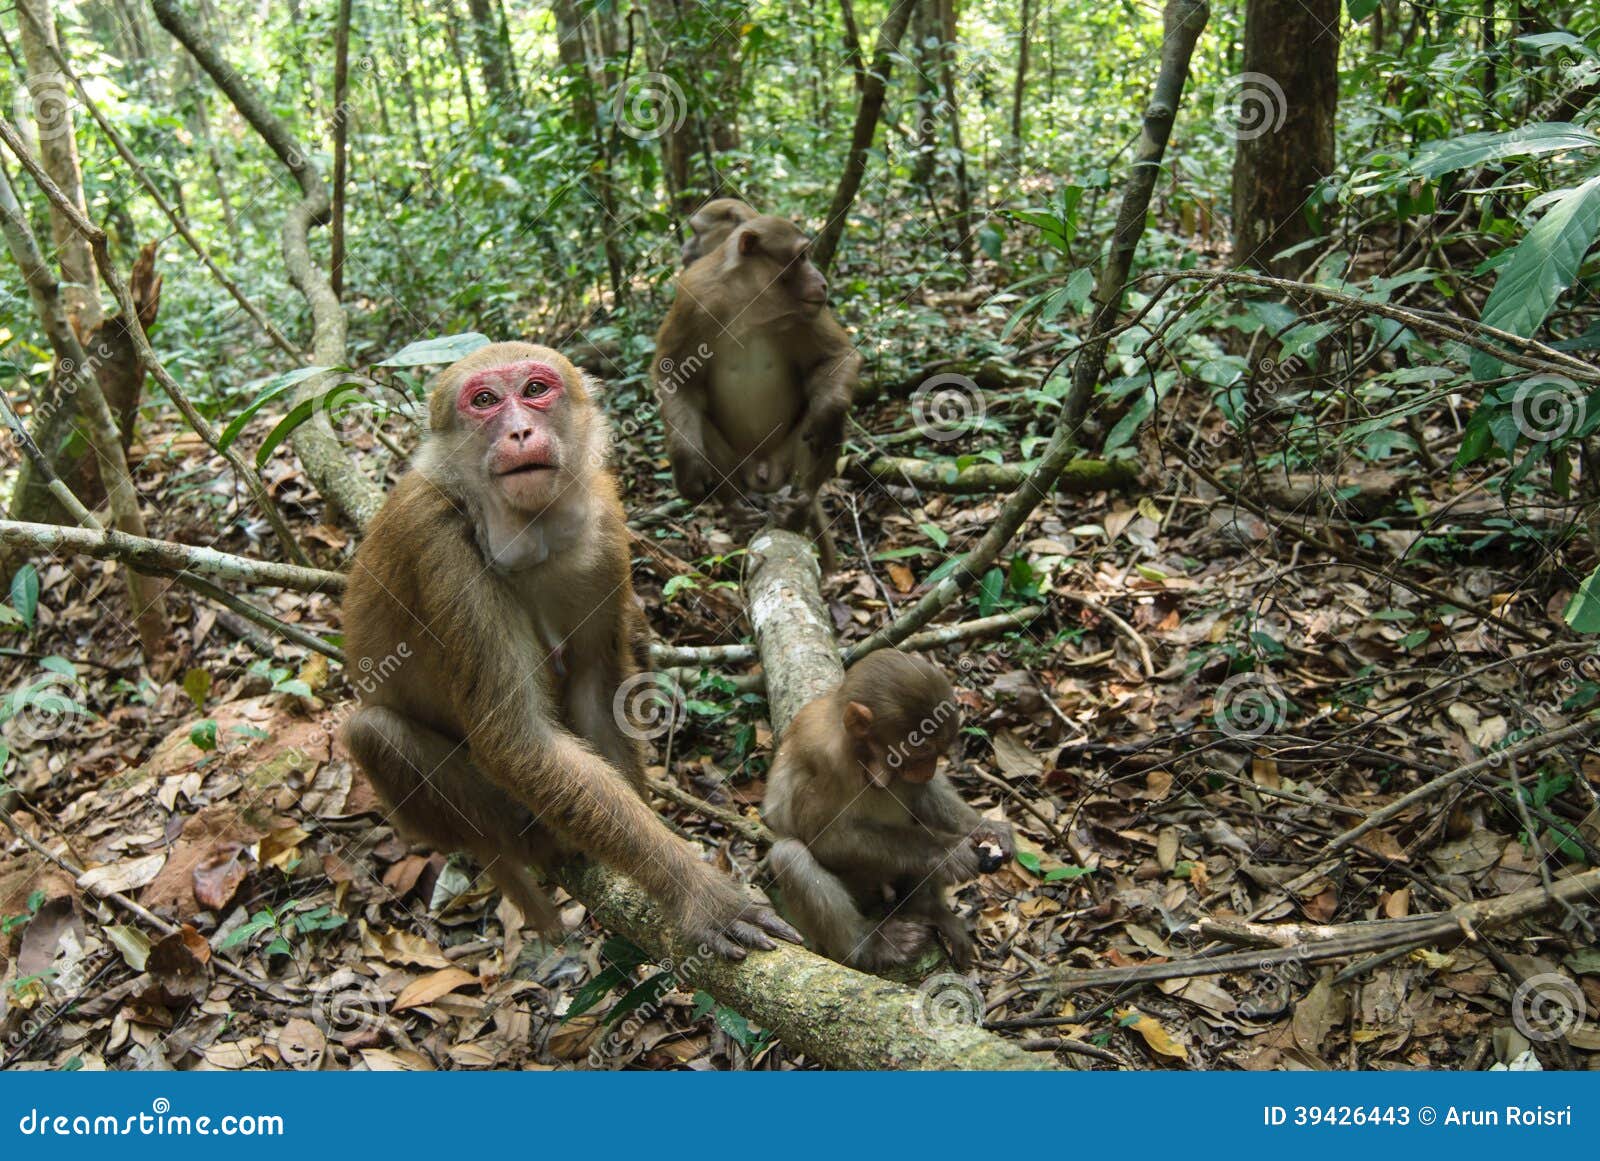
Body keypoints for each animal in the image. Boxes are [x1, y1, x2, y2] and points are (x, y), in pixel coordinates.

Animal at [340, 342, 798, 959]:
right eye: (484, 401)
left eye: (535, 390)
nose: (520, 431)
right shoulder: (436, 542)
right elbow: (517, 738)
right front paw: (698, 891)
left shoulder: (602, 528)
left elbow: (597, 686)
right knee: (374, 733)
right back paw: (532, 846)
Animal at [653, 214, 860, 571]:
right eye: (801, 257)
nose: (821, 282)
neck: (749, 299)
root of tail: (763, 472)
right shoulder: (692, 297)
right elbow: (673, 375)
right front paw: (688, 465)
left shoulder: (809, 309)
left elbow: (837, 358)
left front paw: (826, 411)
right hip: (738, 466)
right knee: (700, 425)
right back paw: (734, 509)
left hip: (784, 460)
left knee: (826, 421)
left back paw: (800, 505)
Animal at [762, 650, 1013, 971]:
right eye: (921, 752)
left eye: (937, 754)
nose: (928, 770)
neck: (857, 751)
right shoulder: (826, 762)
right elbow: (827, 839)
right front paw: (947, 853)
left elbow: (921, 795)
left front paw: (985, 828)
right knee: (790, 854)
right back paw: (867, 947)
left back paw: (929, 909)